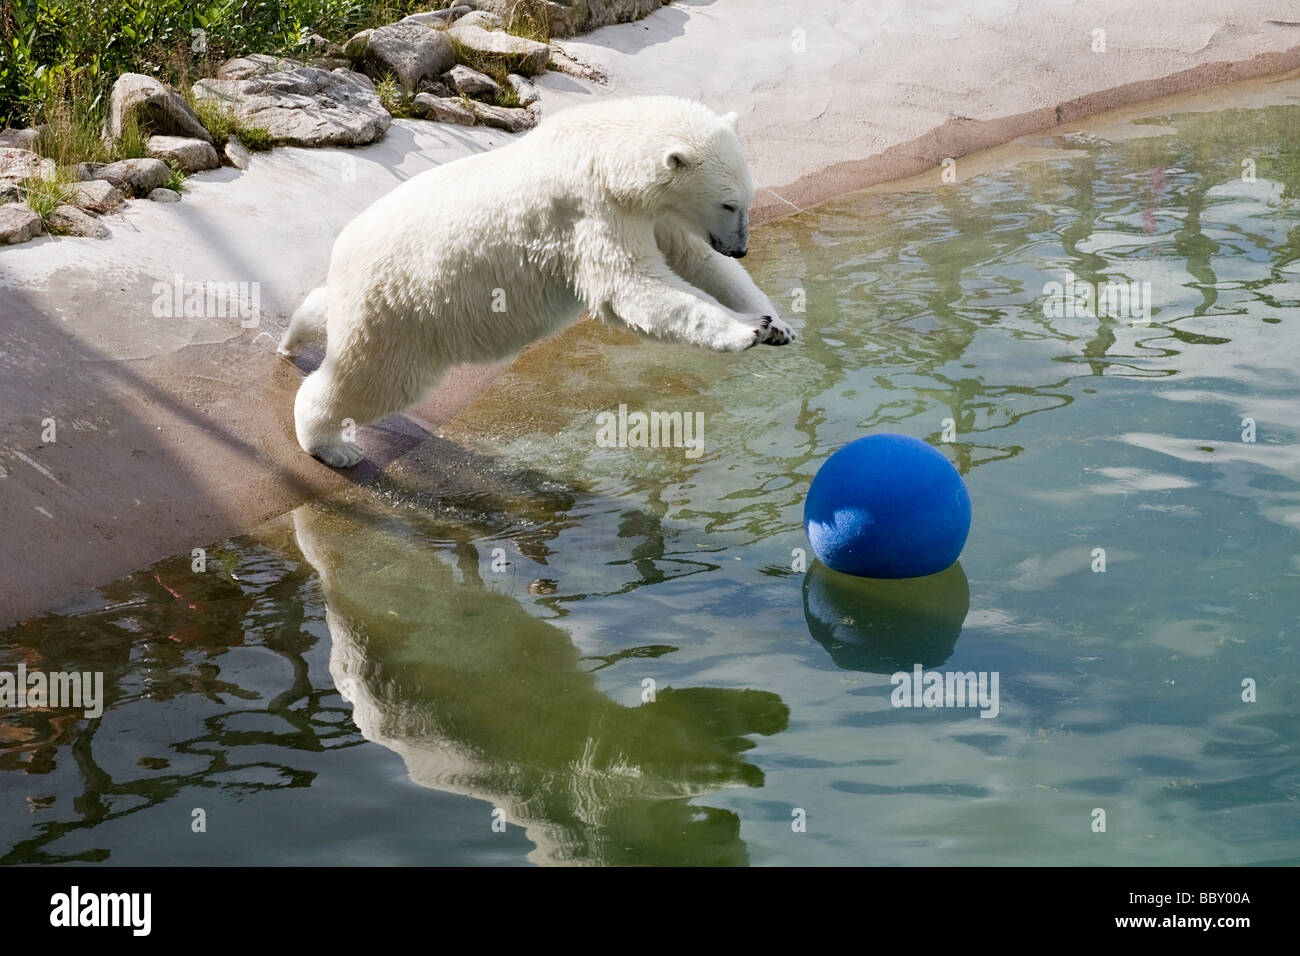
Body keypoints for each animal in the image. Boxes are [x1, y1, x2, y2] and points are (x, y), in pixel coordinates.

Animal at [278, 95, 796, 467]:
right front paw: (746, 330)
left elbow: (698, 261)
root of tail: (343, 251)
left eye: (747, 199)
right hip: (402, 310)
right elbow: (632, 288)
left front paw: (777, 324)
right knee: (373, 381)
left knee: (331, 321)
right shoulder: (589, 209)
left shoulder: (652, 213)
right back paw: (332, 445)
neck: (607, 156)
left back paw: (294, 337)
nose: (740, 247)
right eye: (729, 203)